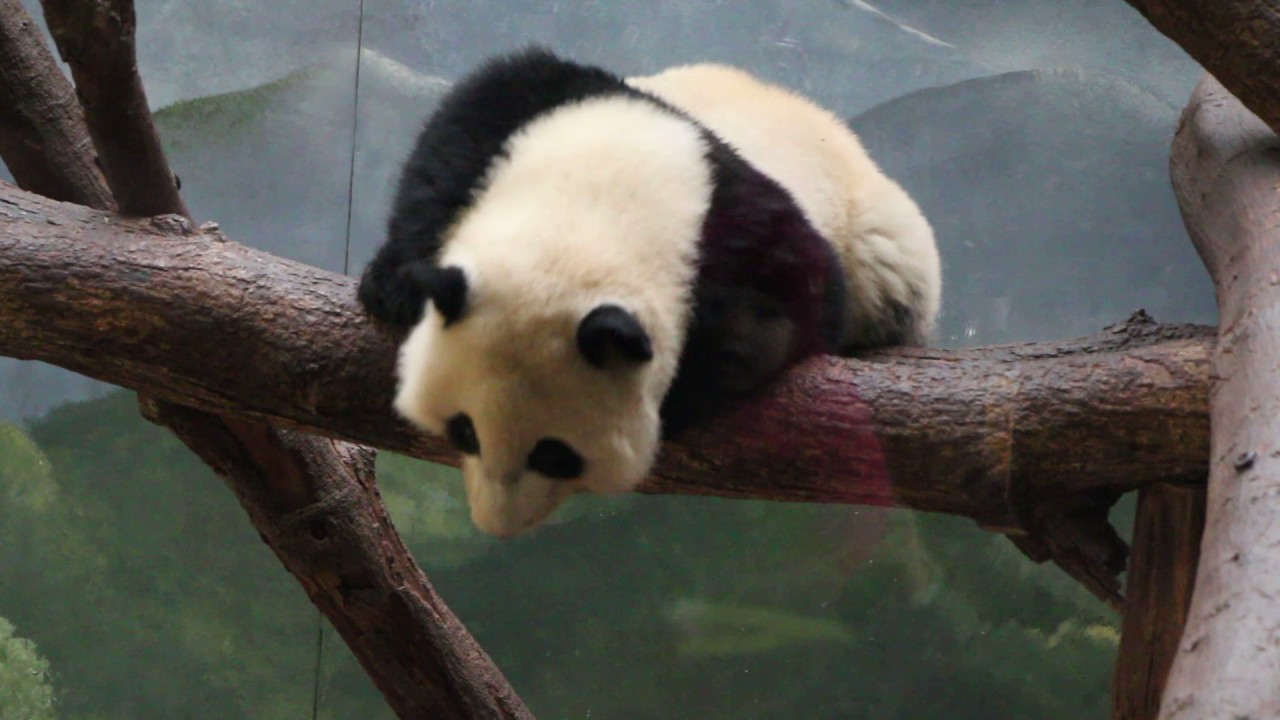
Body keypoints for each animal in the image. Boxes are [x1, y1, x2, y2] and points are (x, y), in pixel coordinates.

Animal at [358, 47, 940, 537]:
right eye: (465, 432)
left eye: (554, 454)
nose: (496, 524)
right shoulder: (537, 101)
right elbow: (454, 137)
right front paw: (395, 281)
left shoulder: (769, 244)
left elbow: (775, 324)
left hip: (883, 250)